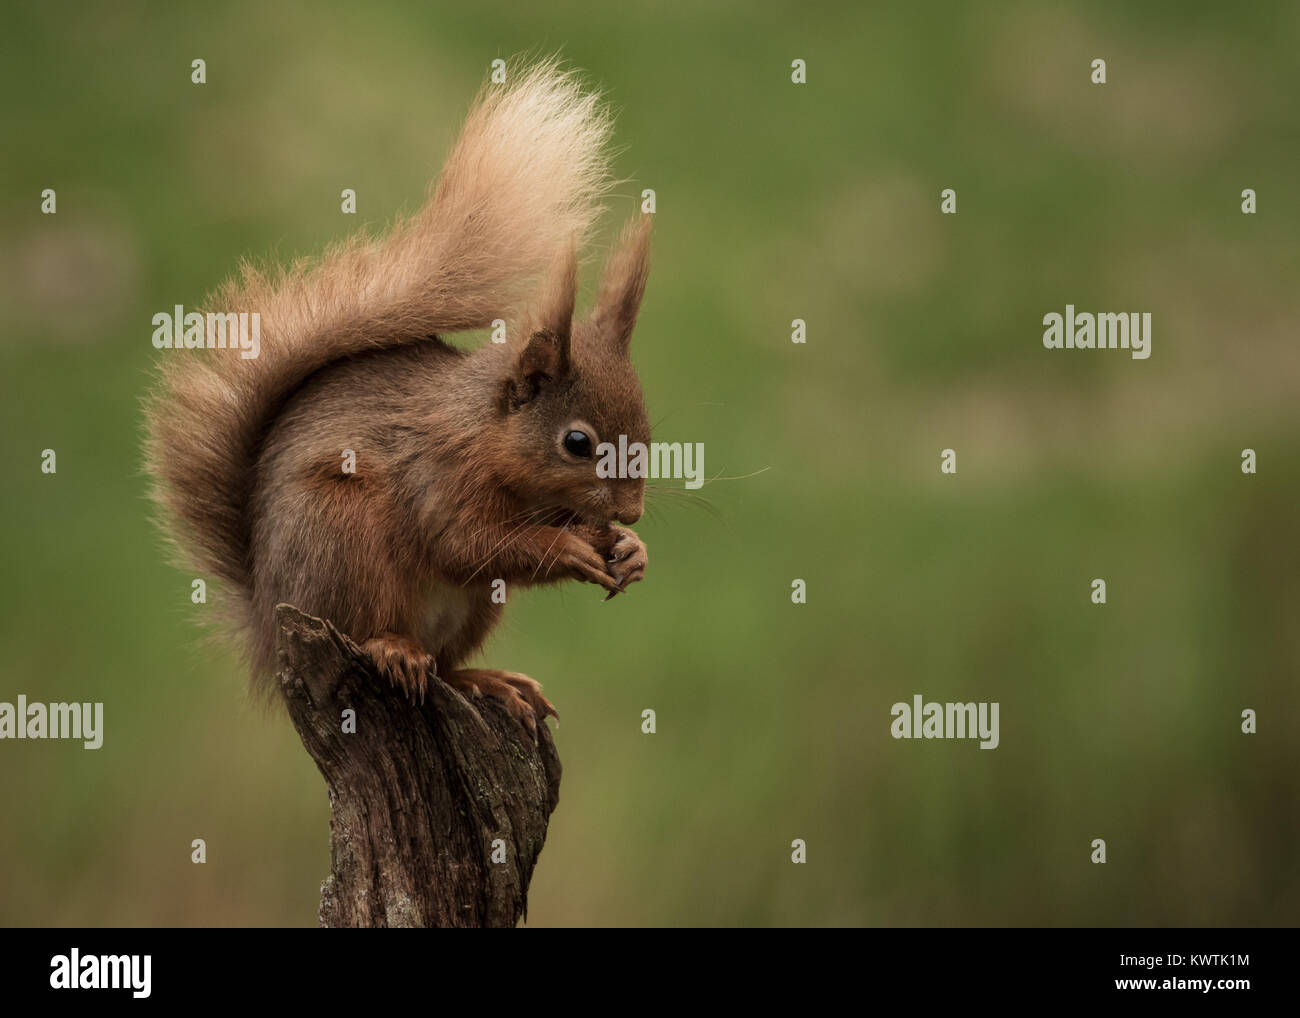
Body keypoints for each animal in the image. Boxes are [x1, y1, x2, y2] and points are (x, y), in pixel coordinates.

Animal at [145, 60, 652, 734]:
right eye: (576, 442)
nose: (632, 513)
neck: (484, 434)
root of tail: (268, 618)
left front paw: (631, 551)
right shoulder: (439, 478)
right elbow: (463, 542)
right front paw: (569, 549)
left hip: (471, 609)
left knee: (446, 666)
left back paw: (485, 680)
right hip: (341, 537)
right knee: (371, 630)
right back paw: (394, 648)